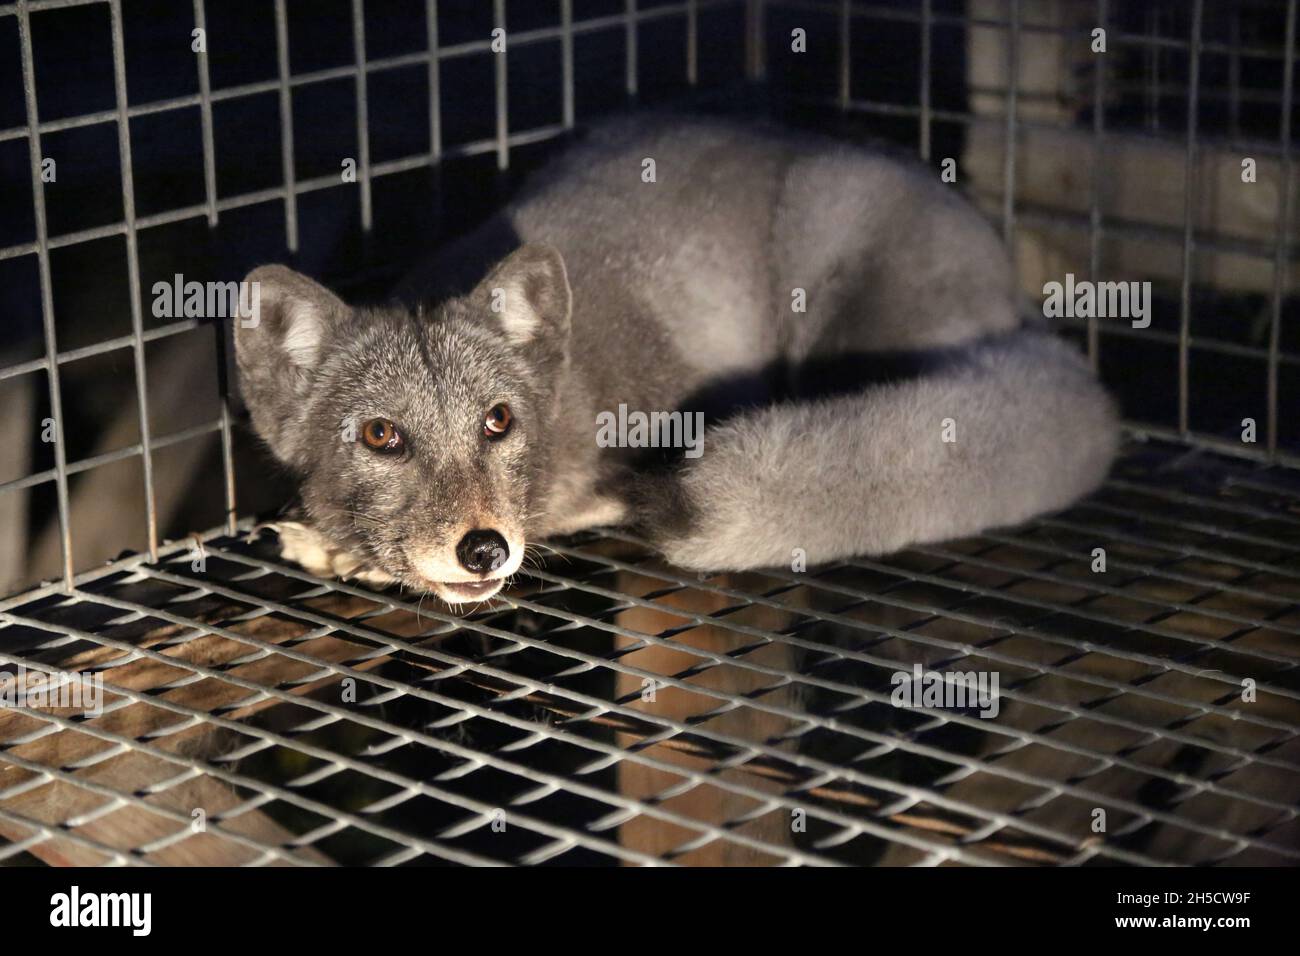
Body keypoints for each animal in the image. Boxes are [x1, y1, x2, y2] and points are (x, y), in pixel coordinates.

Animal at [234, 114, 1119, 606]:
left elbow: (606, 499)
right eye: (381, 437)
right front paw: (336, 542)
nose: (484, 549)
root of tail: (1015, 300)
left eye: (498, 422)